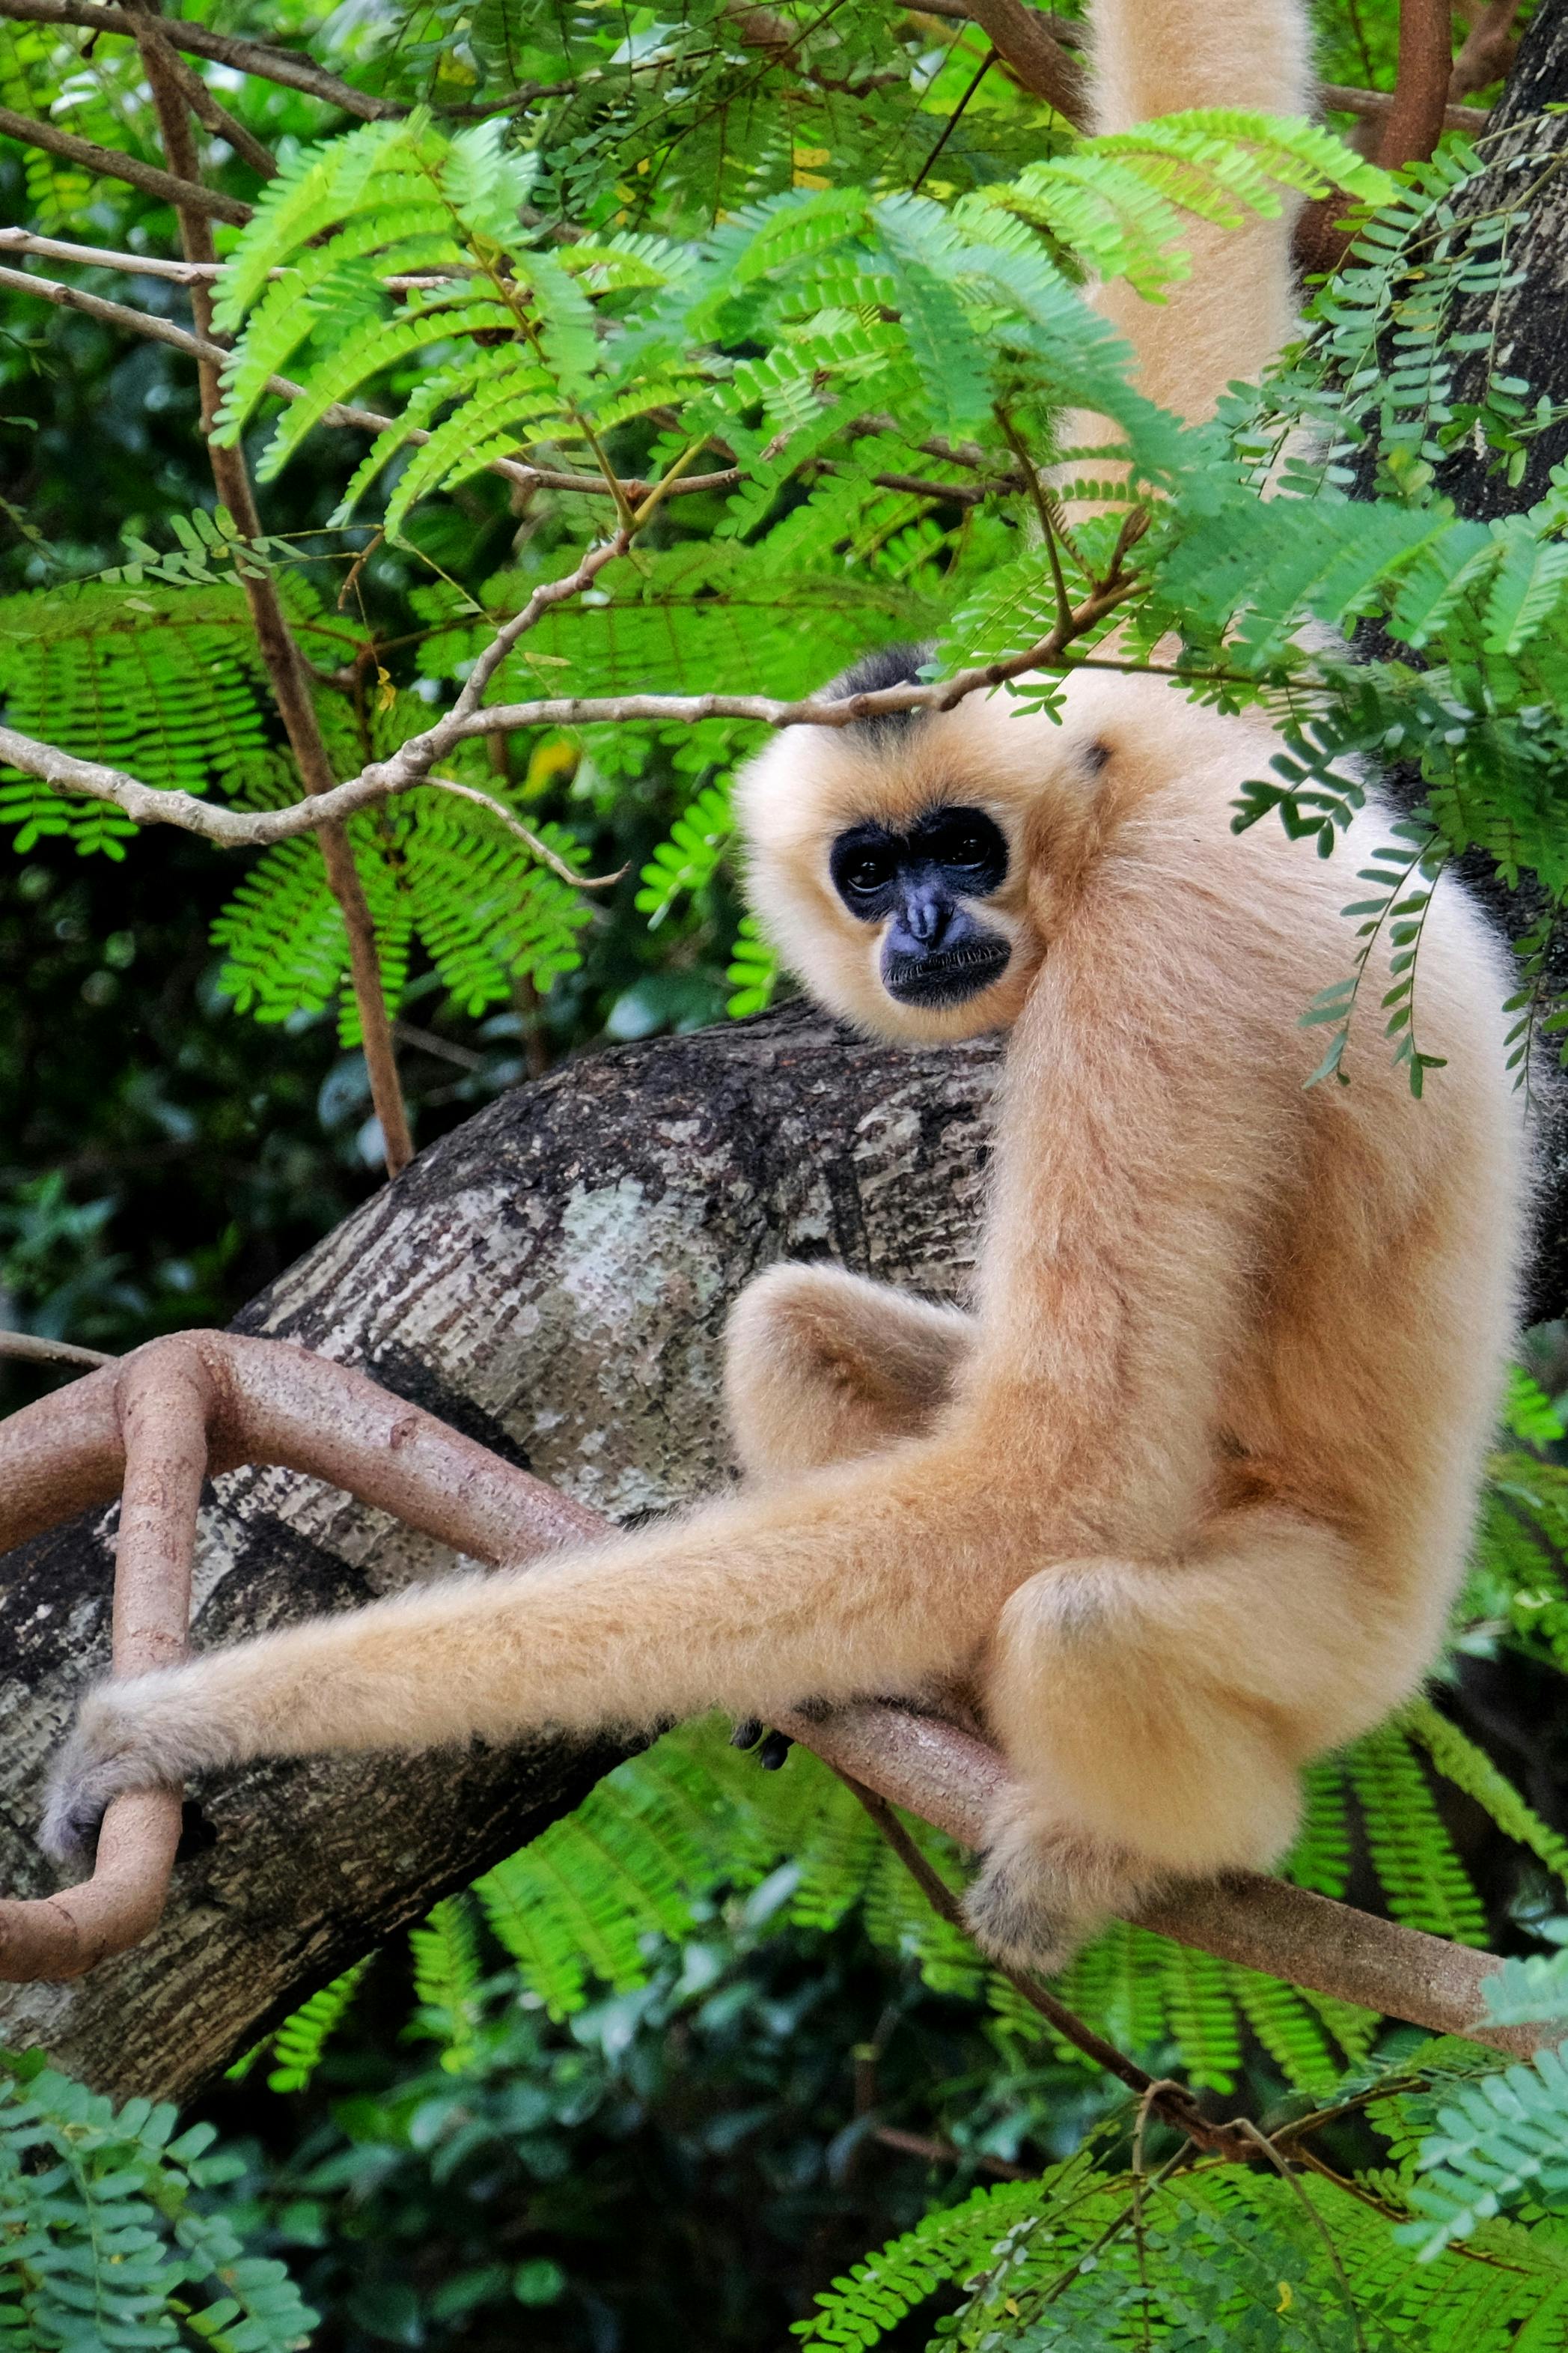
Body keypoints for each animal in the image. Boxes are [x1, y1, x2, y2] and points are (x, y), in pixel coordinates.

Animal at [38, 0, 1531, 1974]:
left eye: (962, 847)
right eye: (871, 865)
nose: (923, 927)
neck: (1137, 797)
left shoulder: (1158, 964)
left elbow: (1049, 1476)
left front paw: (194, 1719)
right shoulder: (1185, 663)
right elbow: (1196, 240)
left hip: (1317, 1643)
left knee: (1083, 1607)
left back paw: (1141, 1842)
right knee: (792, 1323)